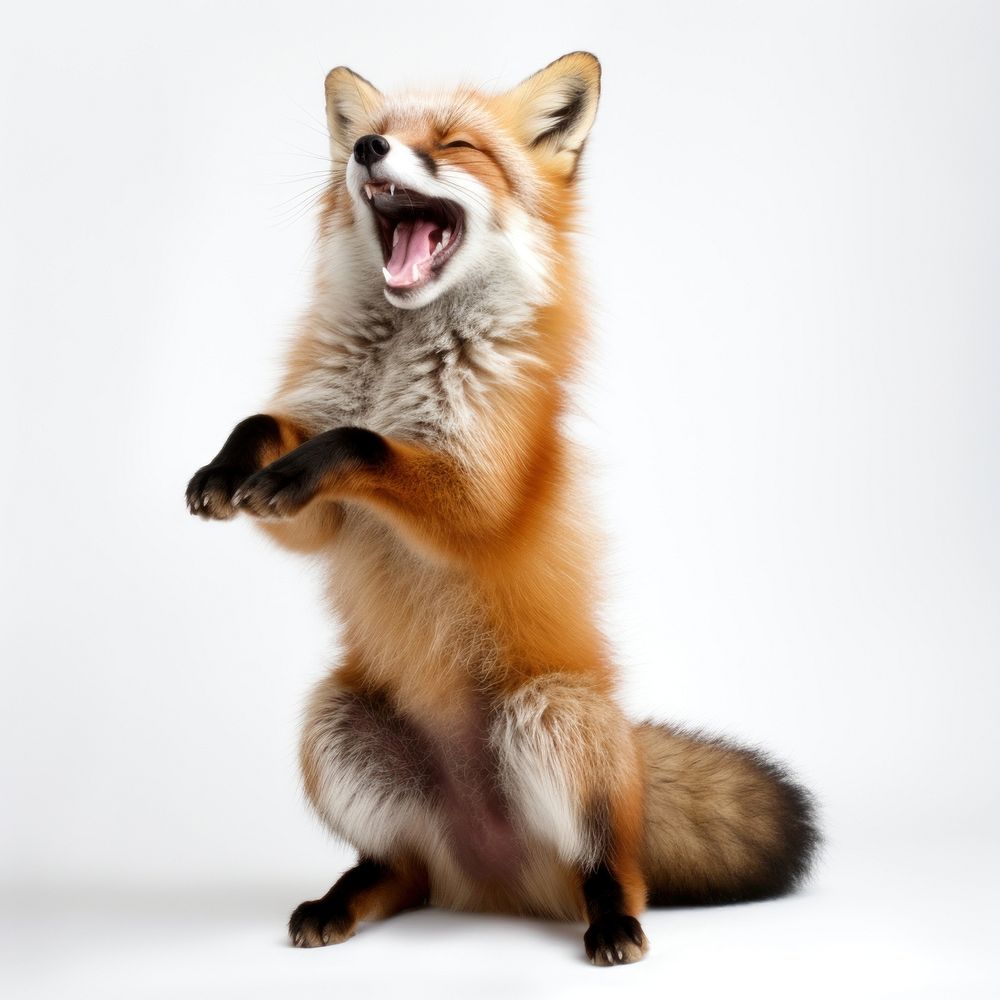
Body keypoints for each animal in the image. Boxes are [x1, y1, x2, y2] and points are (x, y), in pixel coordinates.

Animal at [185, 52, 818, 965]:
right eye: (378, 134)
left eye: (454, 145)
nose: (368, 147)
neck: (397, 362)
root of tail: (493, 878)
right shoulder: (324, 507)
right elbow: (266, 426)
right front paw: (226, 470)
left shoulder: (479, 494)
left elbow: (360, 445)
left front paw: (302, 464)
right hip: (337, 727)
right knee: (399, 868)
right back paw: (344, 898)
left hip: (552, 717)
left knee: (615, 867)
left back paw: (613, 921)